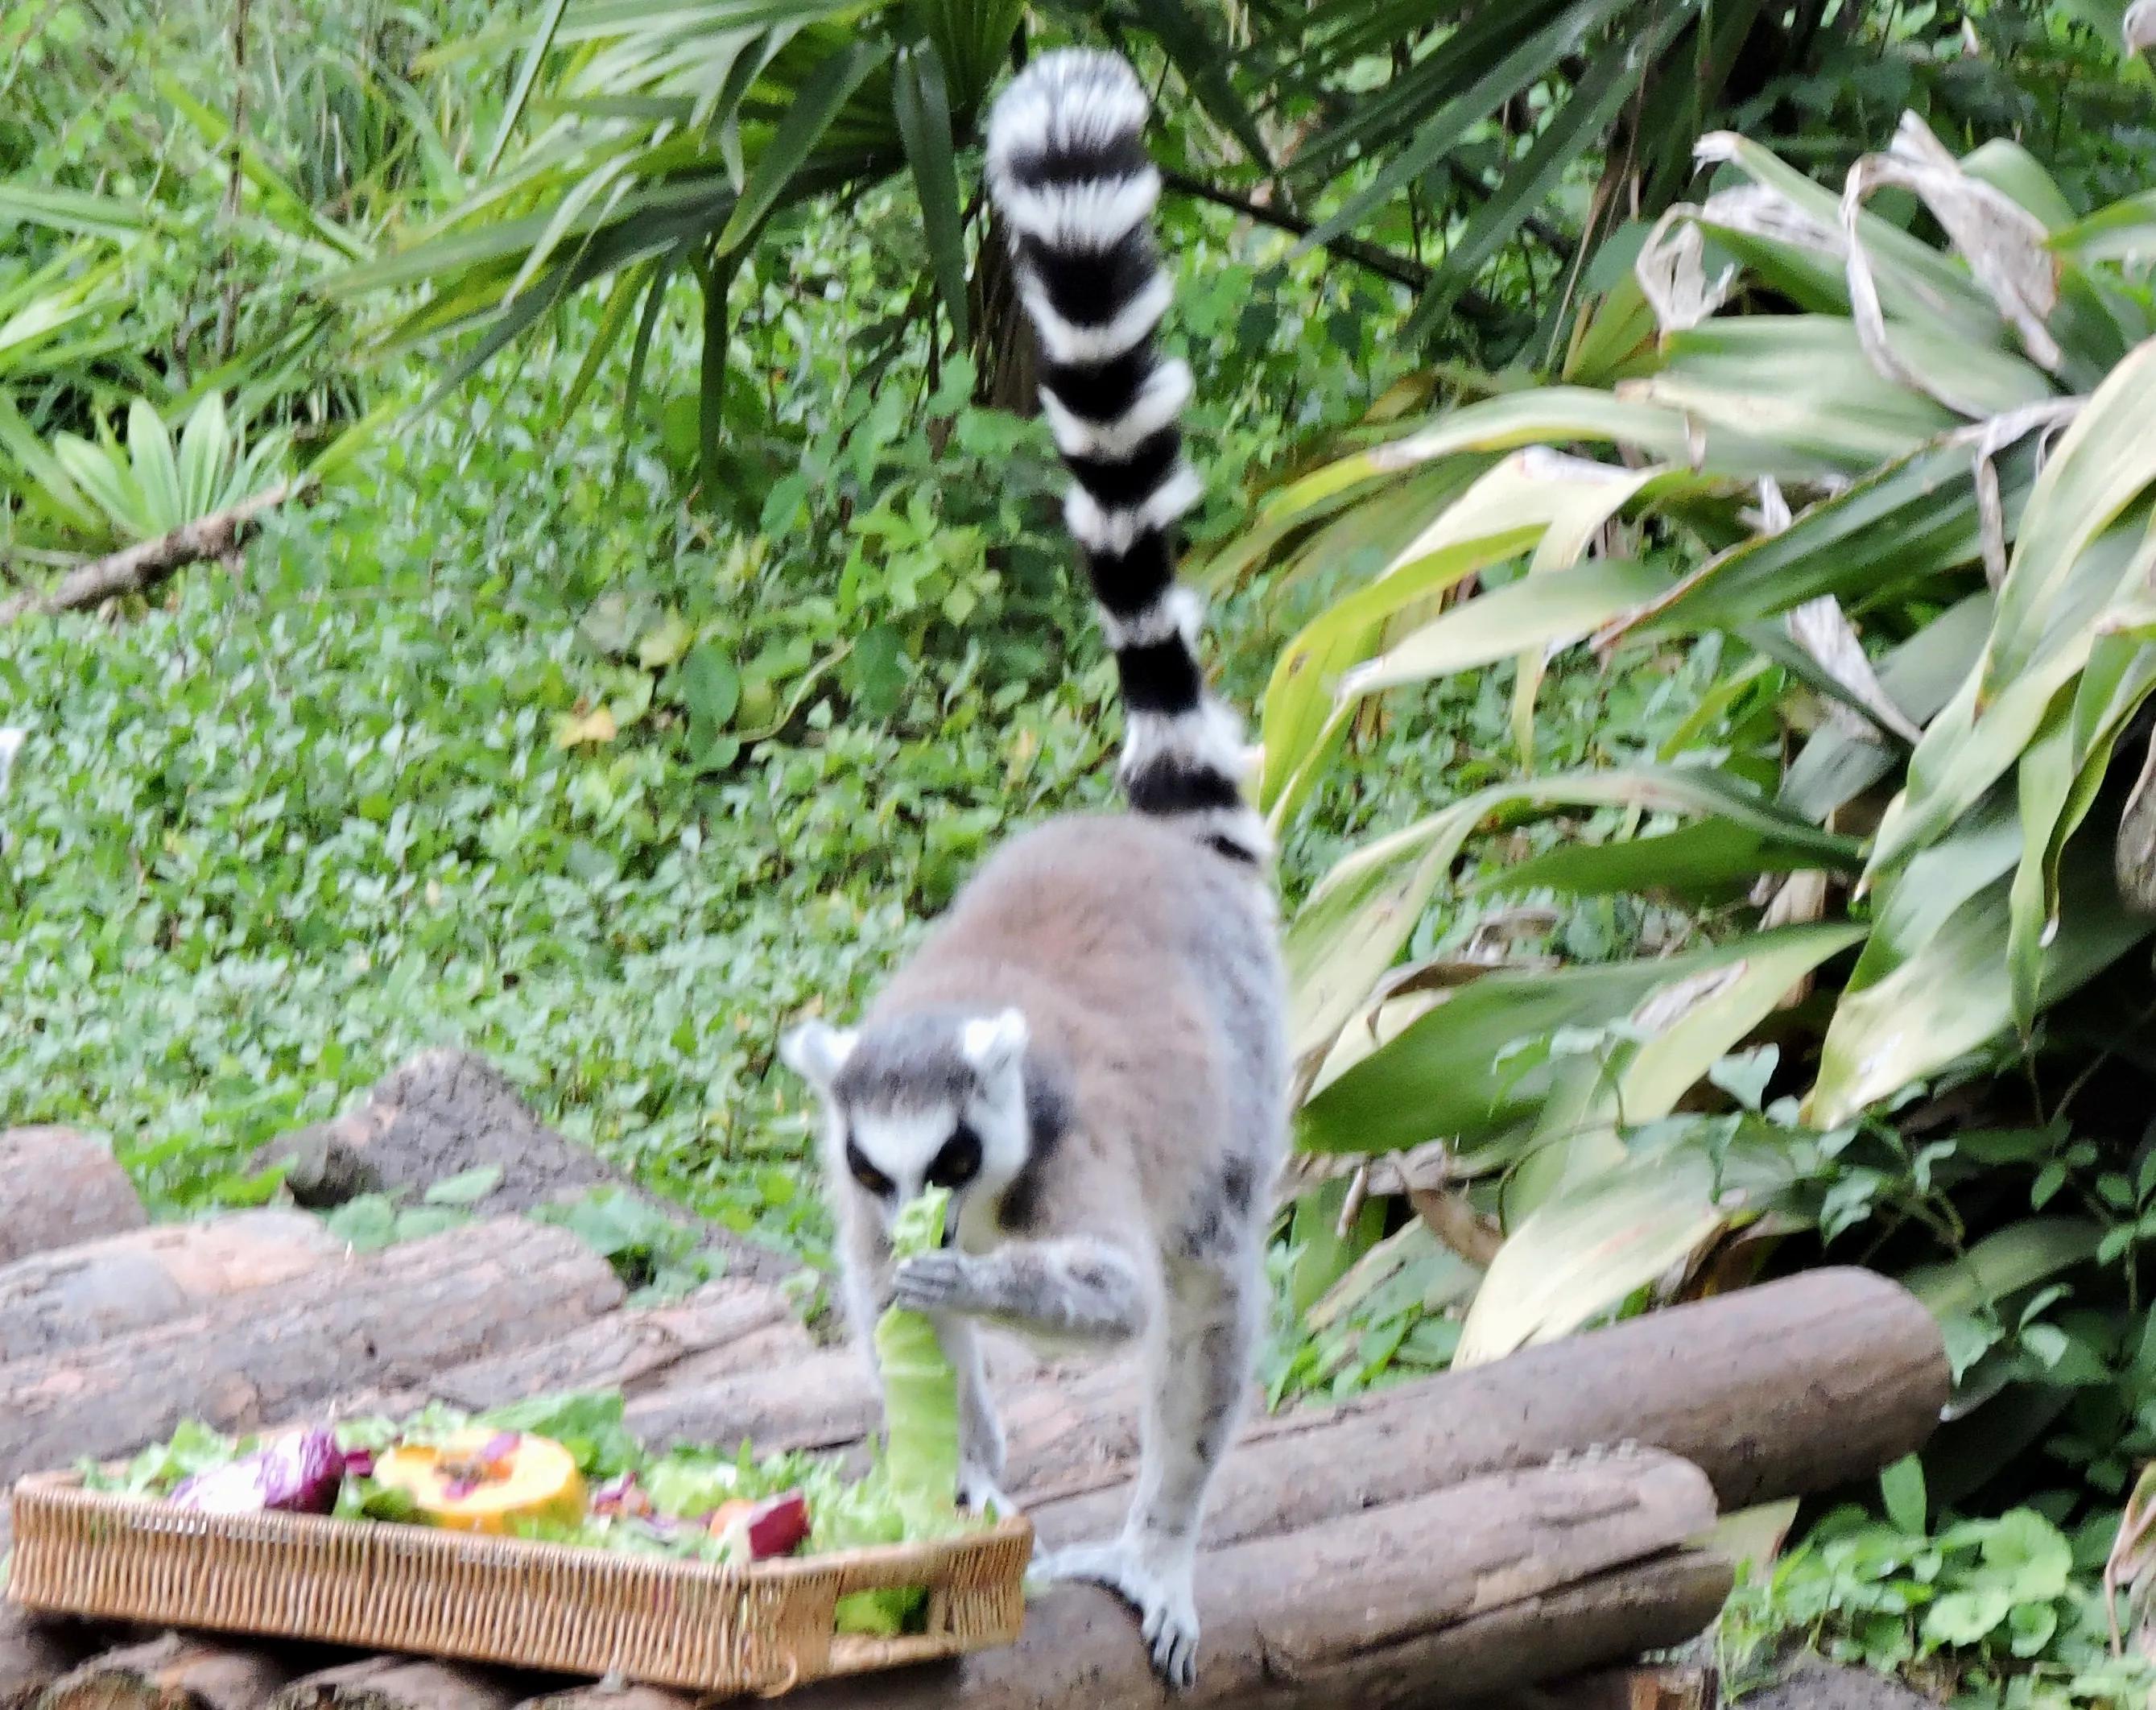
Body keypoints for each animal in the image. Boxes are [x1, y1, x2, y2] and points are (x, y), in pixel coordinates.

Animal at [779, 48, 1285, 1692]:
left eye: (952, 1154)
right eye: (881, 1164)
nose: (932, 1222)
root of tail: (1154, 846)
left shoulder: (1072, 1165)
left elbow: (1116, 1297)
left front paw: (979, 1289)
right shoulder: (844, 1194)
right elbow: (882, 1311)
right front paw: (960, 1478)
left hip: (1242, 1092)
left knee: (1202, 1296)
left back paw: (1157, 1541)